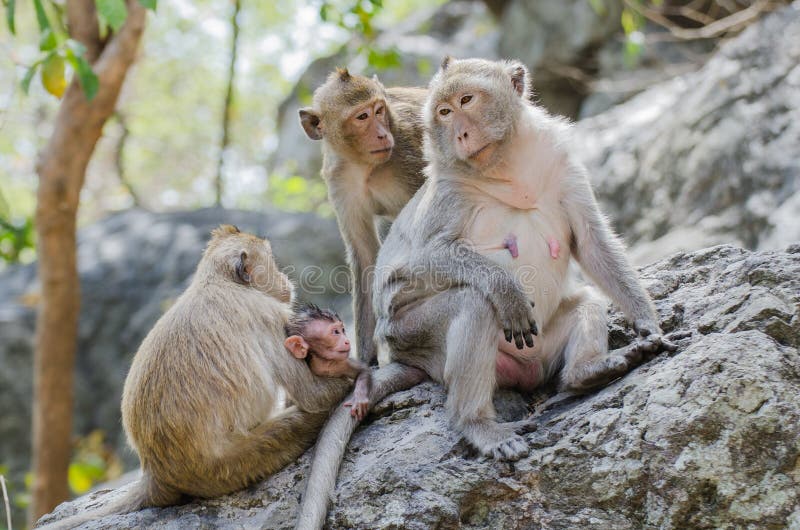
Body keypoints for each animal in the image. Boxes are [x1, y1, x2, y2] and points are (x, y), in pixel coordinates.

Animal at [36, 225, 352, 529]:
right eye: (272, 262)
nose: (284, 280)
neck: (218, 282)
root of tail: (157, 474)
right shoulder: (269, 315)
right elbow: (311, 395)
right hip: (231, 465)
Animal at [299, 69, 427, 366]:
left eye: (379, 111)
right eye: (362, 117)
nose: (382, 135)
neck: (364, 165)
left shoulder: (411, 154)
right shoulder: (339, 181)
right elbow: (366, 256)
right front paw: (368, 361)